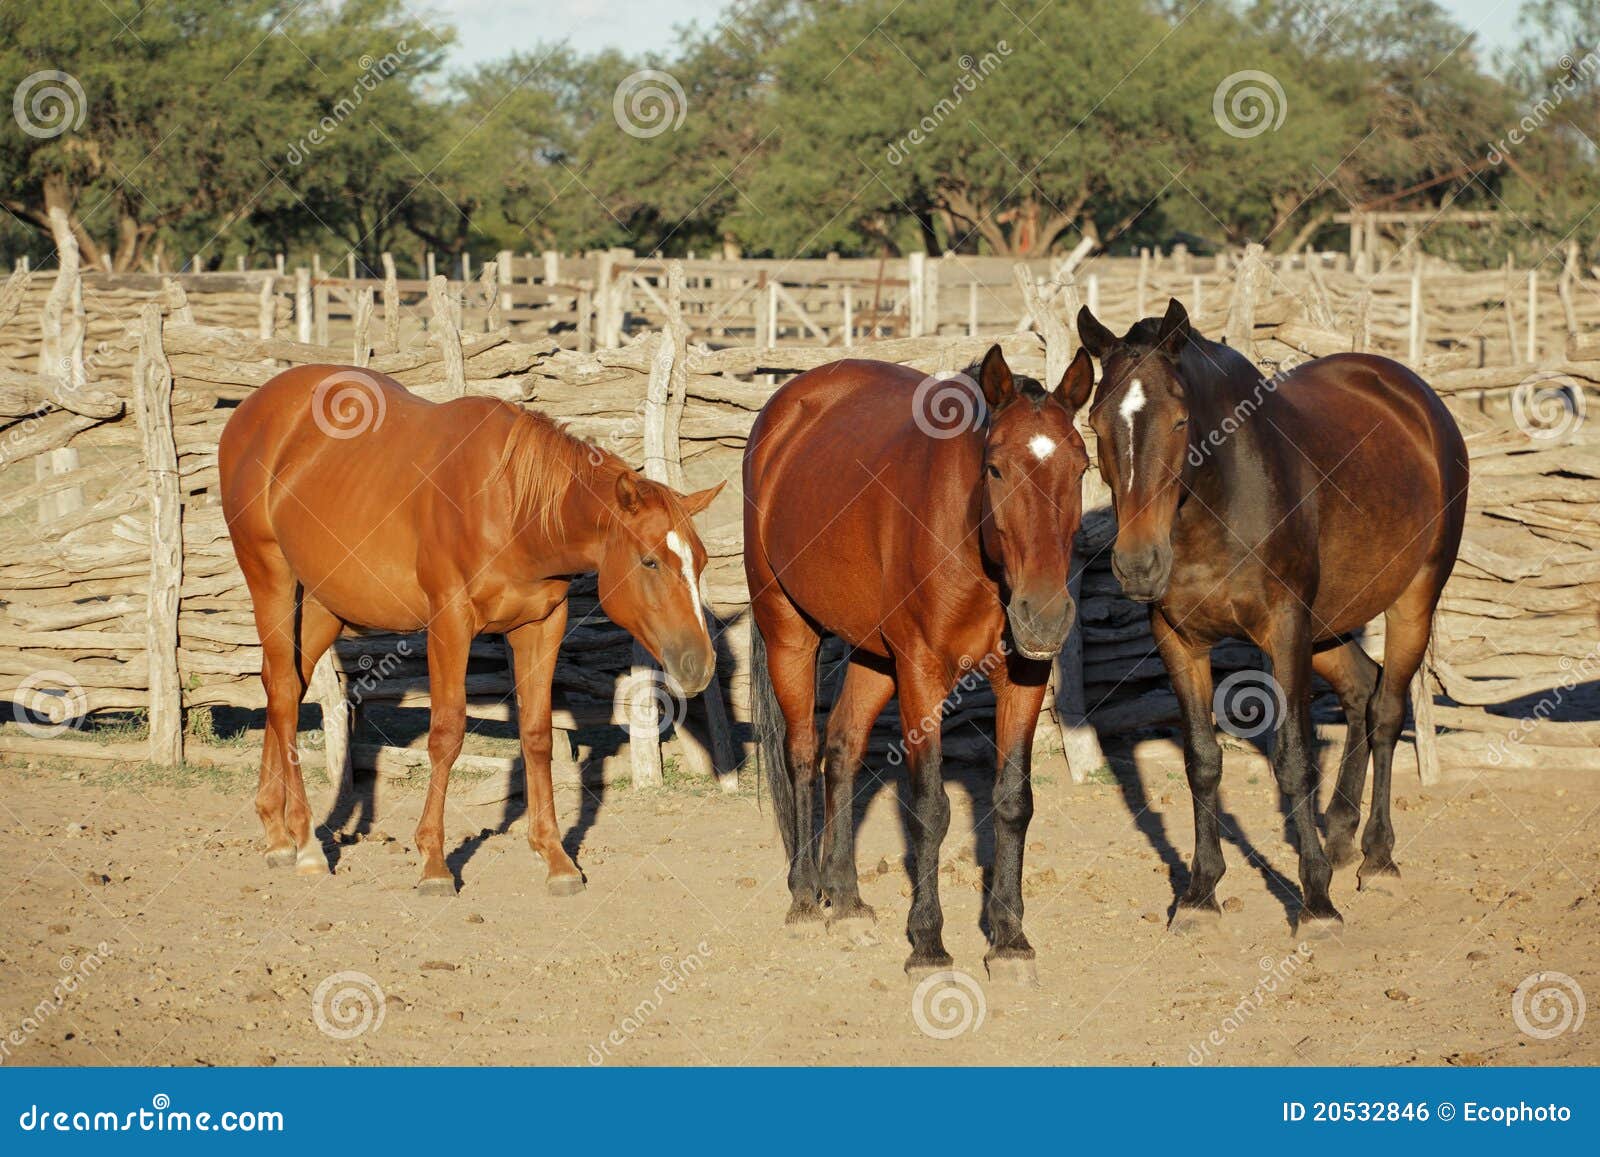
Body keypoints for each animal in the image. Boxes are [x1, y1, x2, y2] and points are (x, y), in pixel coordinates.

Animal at [219, 364, 722, 895]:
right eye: (650, 561)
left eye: (702, 561)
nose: (699, 664)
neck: (512, 508)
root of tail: (254, 411)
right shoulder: (450, 623)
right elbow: (446, 733)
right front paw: (435, 863)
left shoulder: (542, 624)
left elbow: (537, 735)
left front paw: (556, 857)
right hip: (270, 577)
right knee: (284, 687)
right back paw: (305, 842)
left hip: (324, 602)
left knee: (285, 689)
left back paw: (276, 830)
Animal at [743, 345, 1094, 978]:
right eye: (995, 469)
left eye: (1080, 469)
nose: (1045, 615)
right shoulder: (922, 676)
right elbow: (930, 808)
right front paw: (928, 943)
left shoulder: (1025, 680)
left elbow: (1013, 803)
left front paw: (1009, 939)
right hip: (788, 629)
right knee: (803, 752)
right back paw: (806, 896)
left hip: (872, 654)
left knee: (842, 748)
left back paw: (846, 900)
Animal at [1076, 299, 1468, 933]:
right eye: (1097, 423)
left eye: (1180, 421)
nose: (1137, 565)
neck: (1220, 502)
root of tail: (1415, 398)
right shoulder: (1180, 640)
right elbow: (1202, 761)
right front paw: (1199, 893)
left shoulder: (1285, 632)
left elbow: (1293, 760)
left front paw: (1316, 901)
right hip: (1327, 626)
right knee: (1362, 687)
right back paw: (1340, 834)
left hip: (1413, 598)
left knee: (1386, 710)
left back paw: (1378, 857)